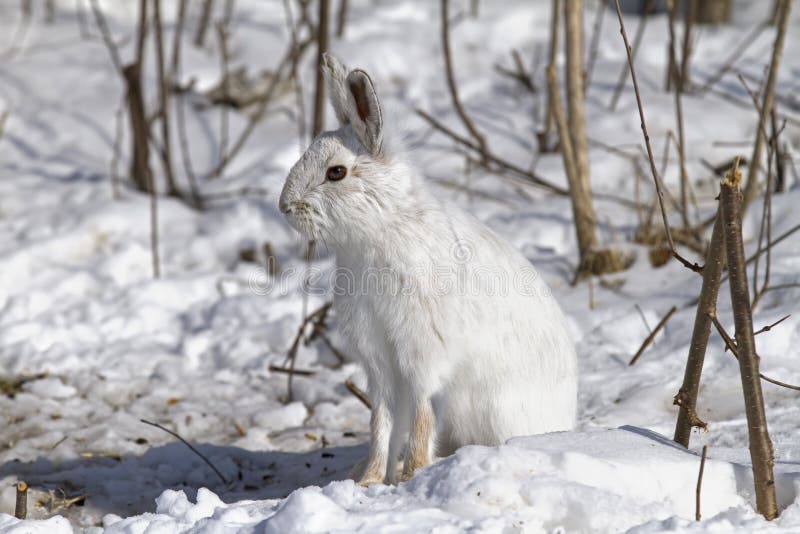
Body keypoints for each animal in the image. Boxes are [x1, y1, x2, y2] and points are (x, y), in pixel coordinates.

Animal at [278, 53, 578, 485]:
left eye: (336, 172)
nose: (284, 207)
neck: (381, 229)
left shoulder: (423, 348)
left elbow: (420, 410)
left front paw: (413, 472)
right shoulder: (380, 359)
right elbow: (382, 418)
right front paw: (371, 478)